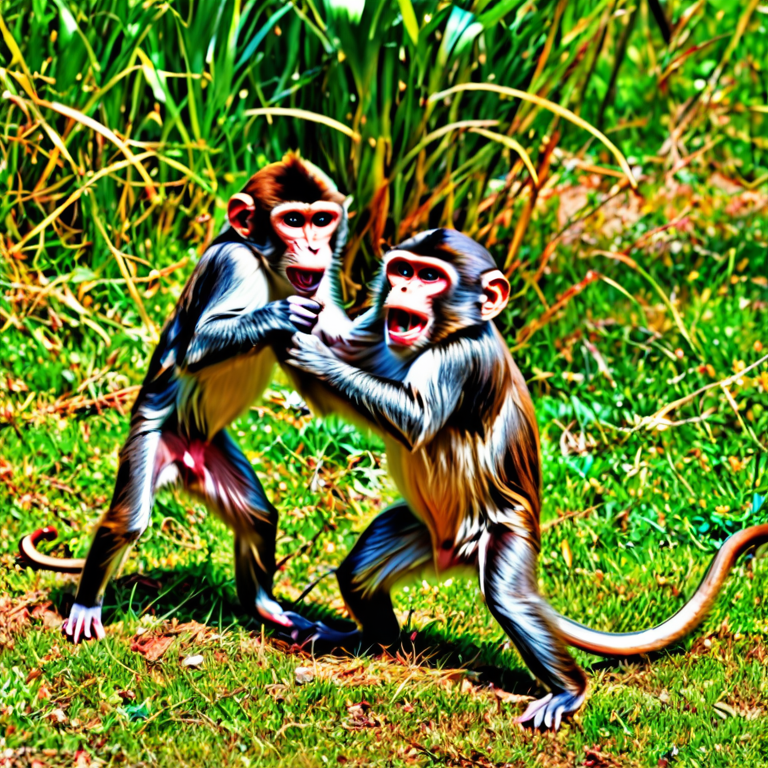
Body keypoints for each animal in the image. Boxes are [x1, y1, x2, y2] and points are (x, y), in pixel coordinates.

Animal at [18, 154, 349, 644]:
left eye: (321, 220)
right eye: (293, 221)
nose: (313, 248)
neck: (268, 267)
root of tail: (184, 461)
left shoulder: (320, 287)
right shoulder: (233, 264)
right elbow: (197, 347)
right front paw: (281, 315)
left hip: (212, 453)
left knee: (259, 515)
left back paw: (265, 607)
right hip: (149, 438)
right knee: (127, 521)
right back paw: (85, 604)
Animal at [283, 228, 768, 730]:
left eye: (429, 277)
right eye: (401, 269)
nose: (401, 288)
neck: (438, 338)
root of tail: (454, 553)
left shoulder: (463, 358)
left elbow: (415, 421)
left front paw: (315, 356)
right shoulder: (377, 329)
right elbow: (344, 341)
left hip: (503, 534)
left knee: (508, 599)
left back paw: (570, 690)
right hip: (422, 532)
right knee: (359, 569)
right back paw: (370, 639)